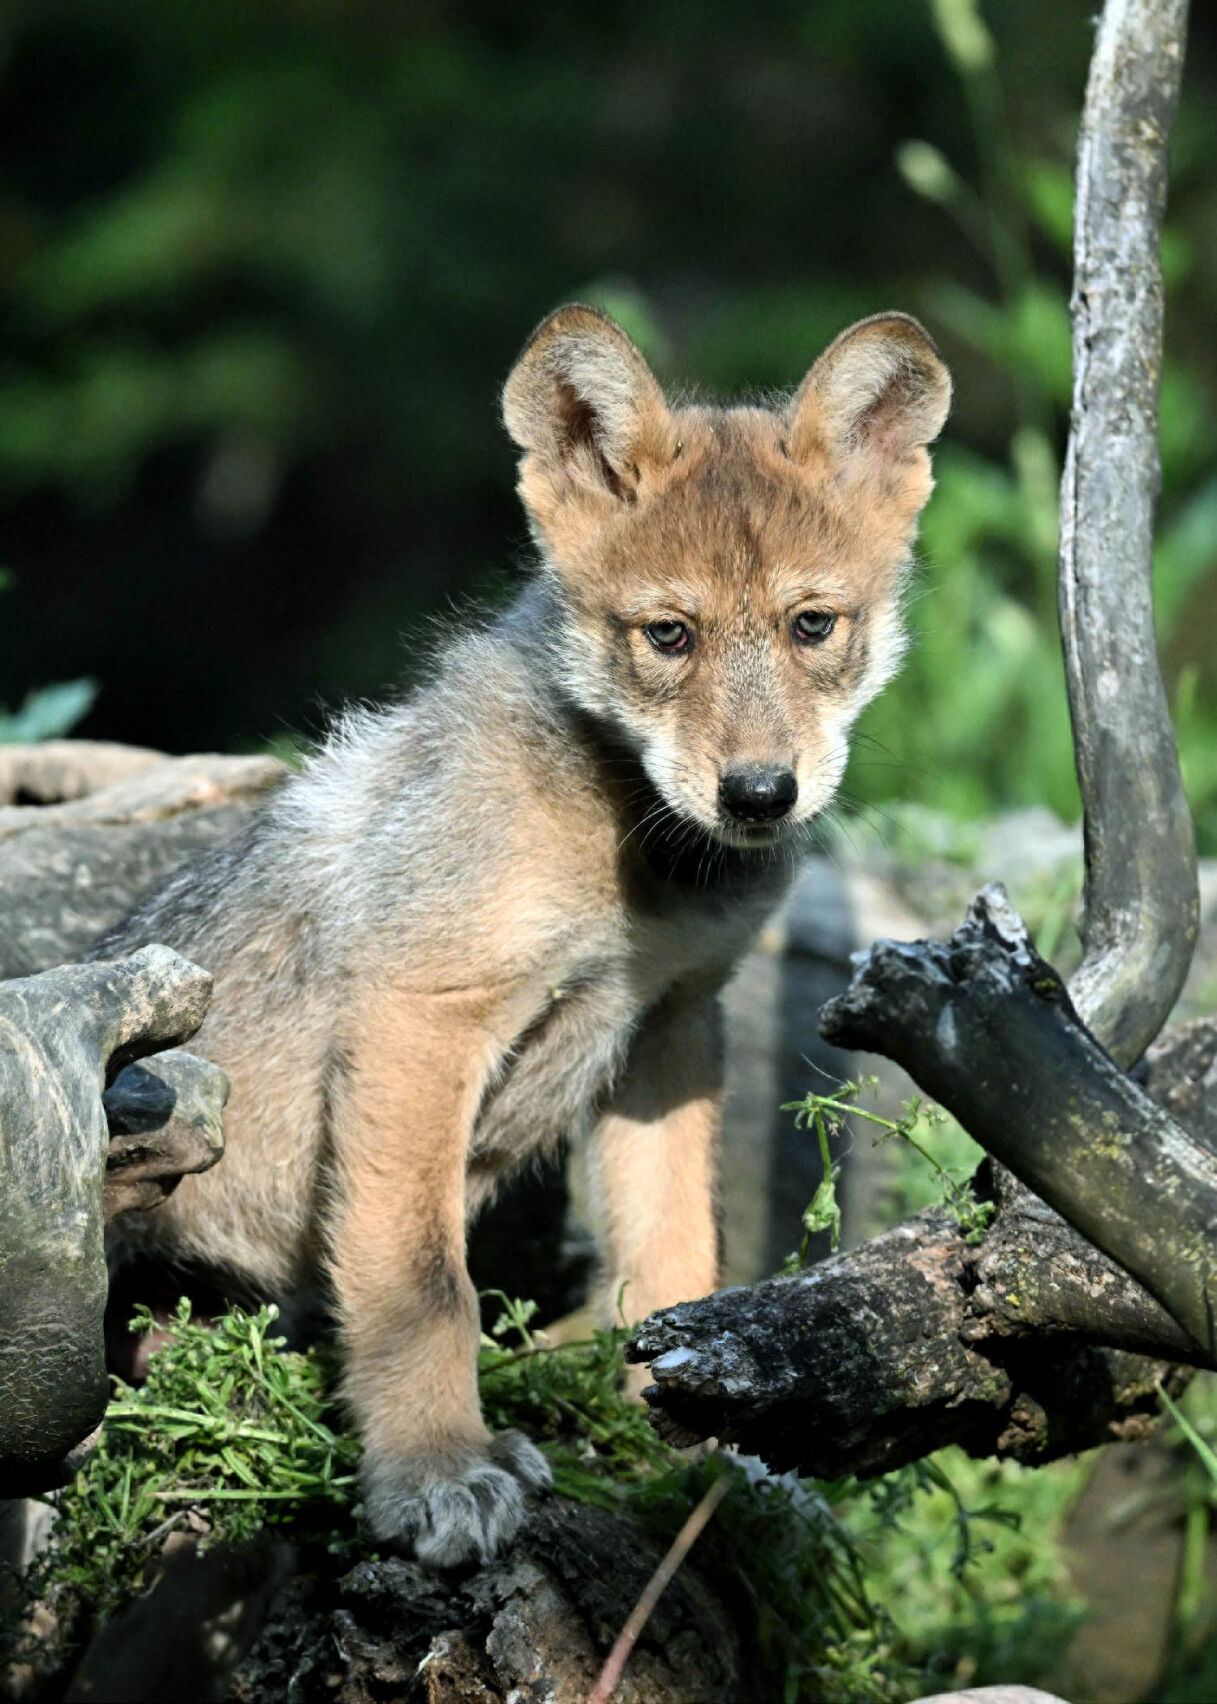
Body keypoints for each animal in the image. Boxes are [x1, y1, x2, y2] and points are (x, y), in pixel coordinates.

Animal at [94, 303, 950, 1566]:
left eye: (811, 627)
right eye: (667, 636)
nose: (758, 794)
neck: (633, 877)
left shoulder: (669, 1030)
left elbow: (672, 1266)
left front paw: (697, 1455)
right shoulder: (422, 1018)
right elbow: (423, 1293)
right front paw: (434, 1472)